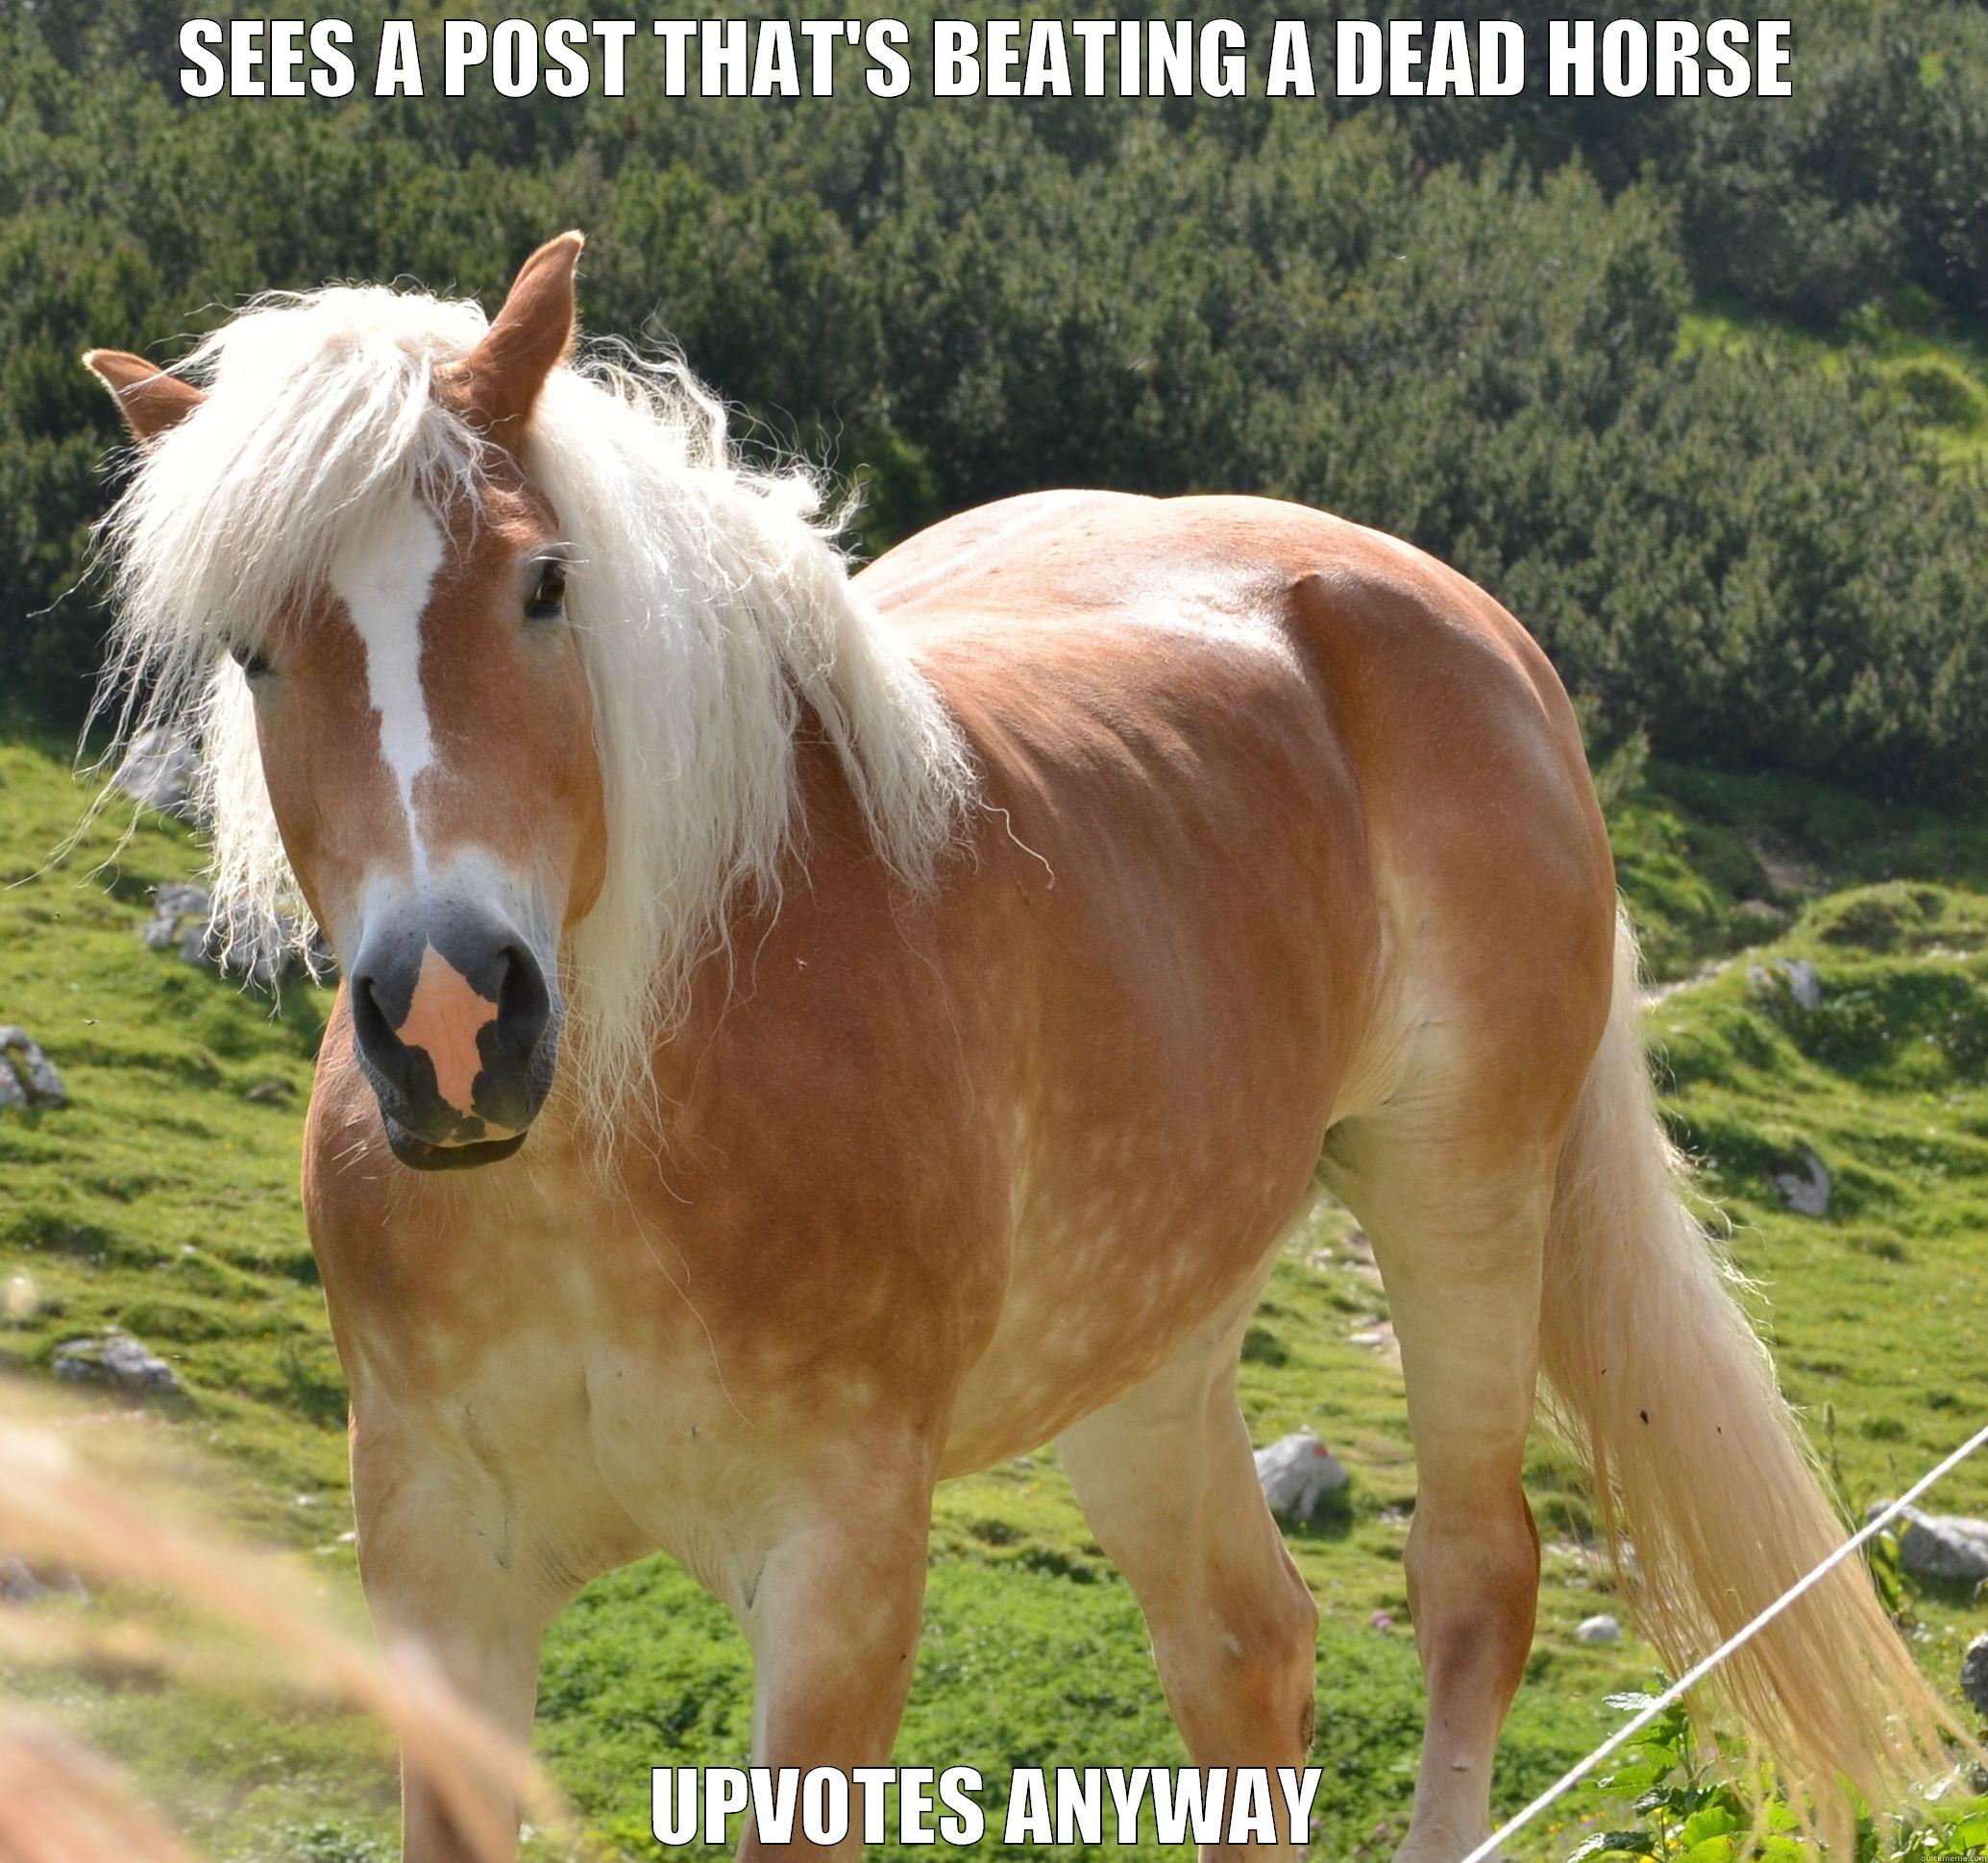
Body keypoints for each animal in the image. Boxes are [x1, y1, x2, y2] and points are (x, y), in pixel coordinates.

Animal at [84, 233, 1951, 1862]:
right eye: (253, 649)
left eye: (543, 584)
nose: (454, 1020)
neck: (610, 1150)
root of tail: (1454, 621)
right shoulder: (437, 1566)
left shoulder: (836, 1568)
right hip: (1145, 1346)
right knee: (1246, 1651)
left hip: (1462, 1190)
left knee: (1472, 1577)